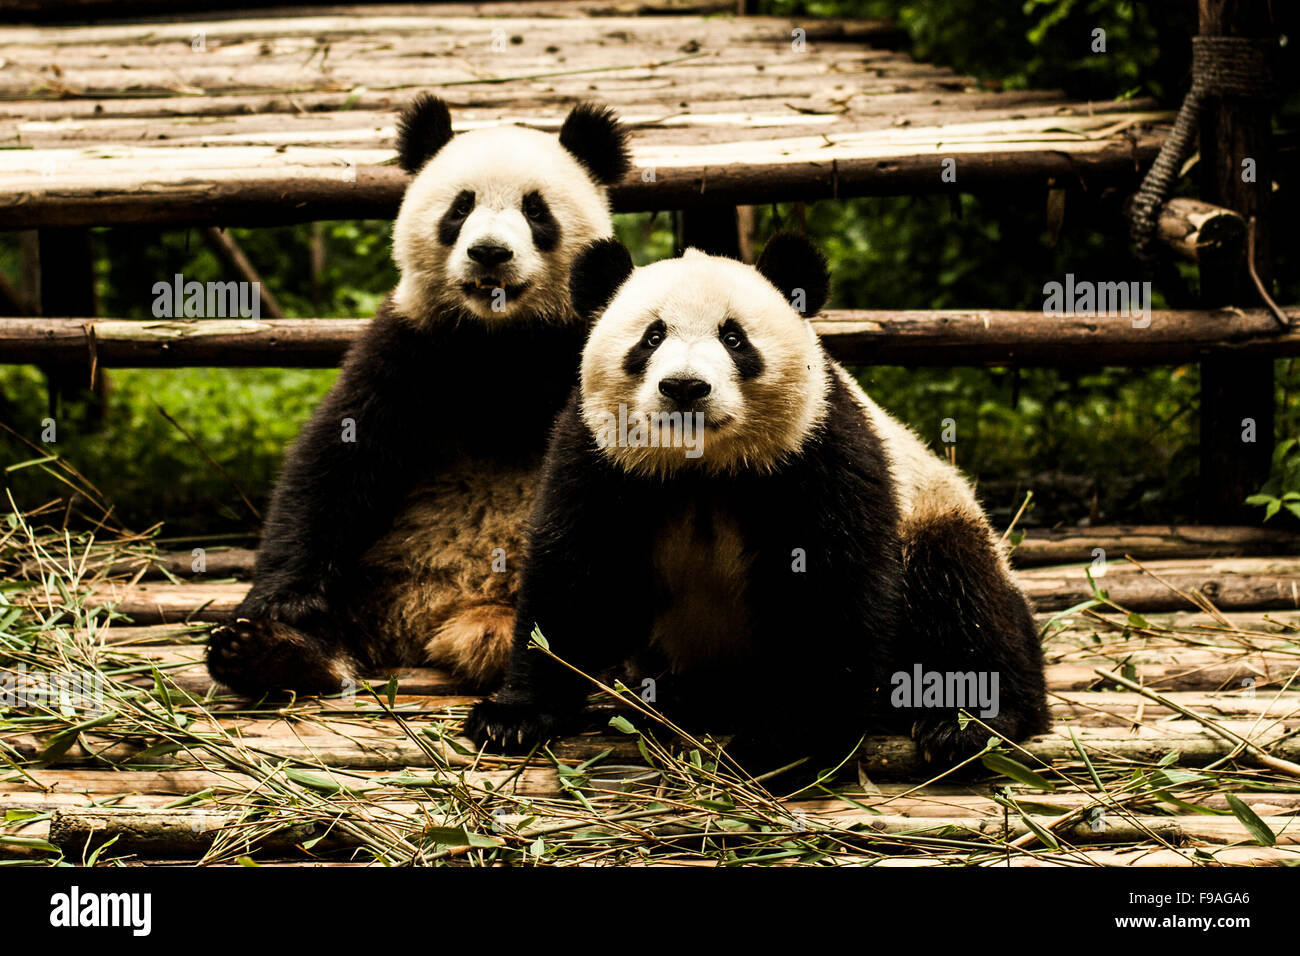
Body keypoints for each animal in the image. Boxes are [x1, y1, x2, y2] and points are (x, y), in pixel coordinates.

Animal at [206, 95, 631, 695]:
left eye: (535, 210)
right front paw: (276, 609)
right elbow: (333, 464)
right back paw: (273, 653)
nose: (489, 252)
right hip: (382, 570)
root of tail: (448, 615)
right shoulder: (413, 346)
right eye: (460, 207)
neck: (502, 341)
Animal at [465, 234, 1050, 771]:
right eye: (652, 336)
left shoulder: (815, 449)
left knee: (961, 594)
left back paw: (964, 723)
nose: (684, 388)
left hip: (935, 508)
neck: (701, 468)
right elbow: (575, 580)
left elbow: (829, 592)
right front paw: (510, 717)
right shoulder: (600, 457)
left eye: (733, 337)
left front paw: (783, 745)